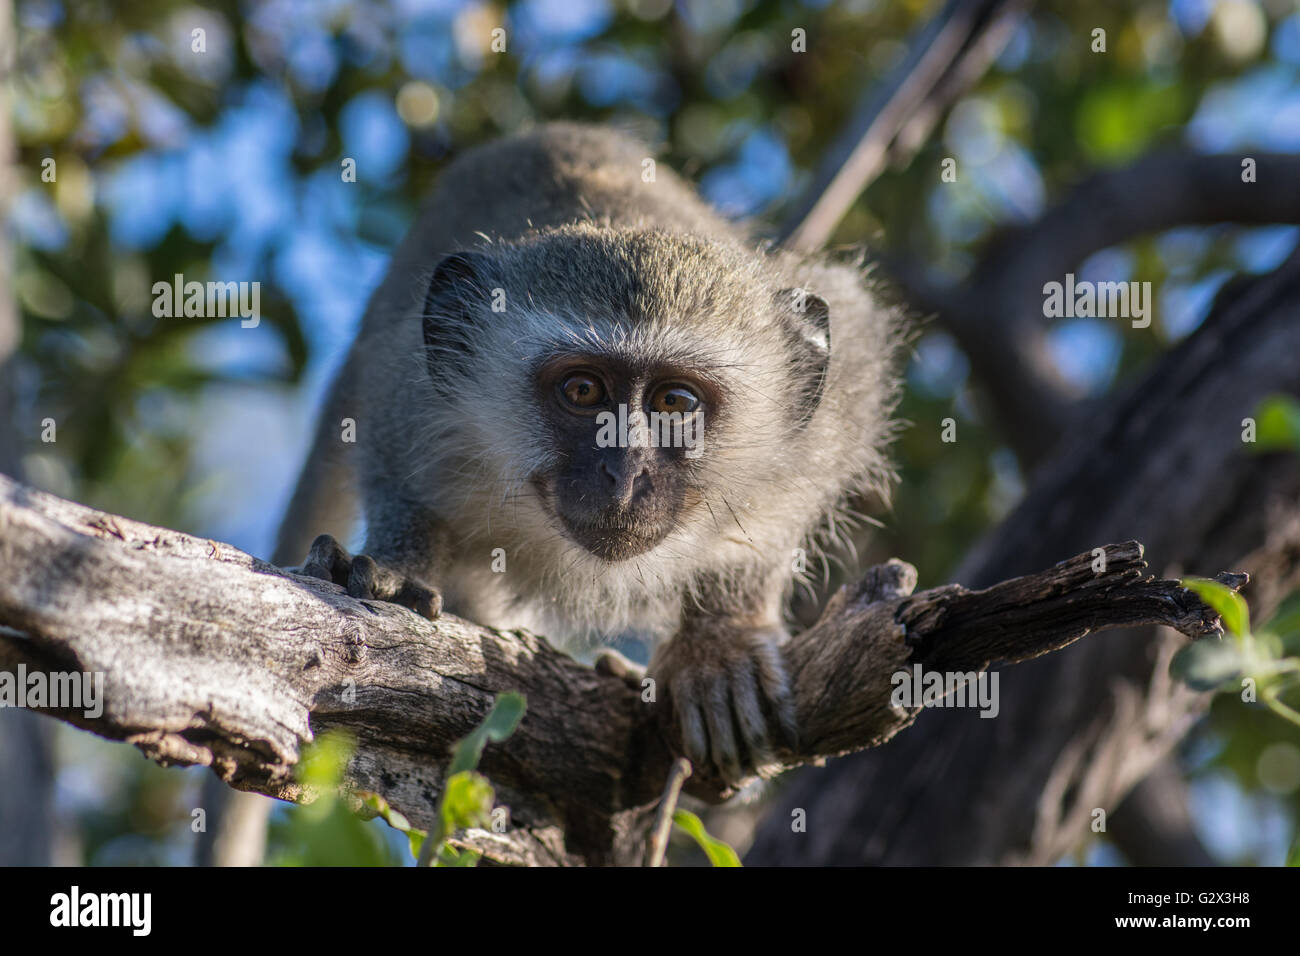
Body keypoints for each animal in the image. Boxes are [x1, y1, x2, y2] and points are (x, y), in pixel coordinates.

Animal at [273, 122, 903, 787]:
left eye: (675, 402)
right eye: (582, 391)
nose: (623, 475)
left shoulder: (837, 395)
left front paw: (720, 639)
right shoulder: (412, 387)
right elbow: (396, 461)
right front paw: (400, 564)